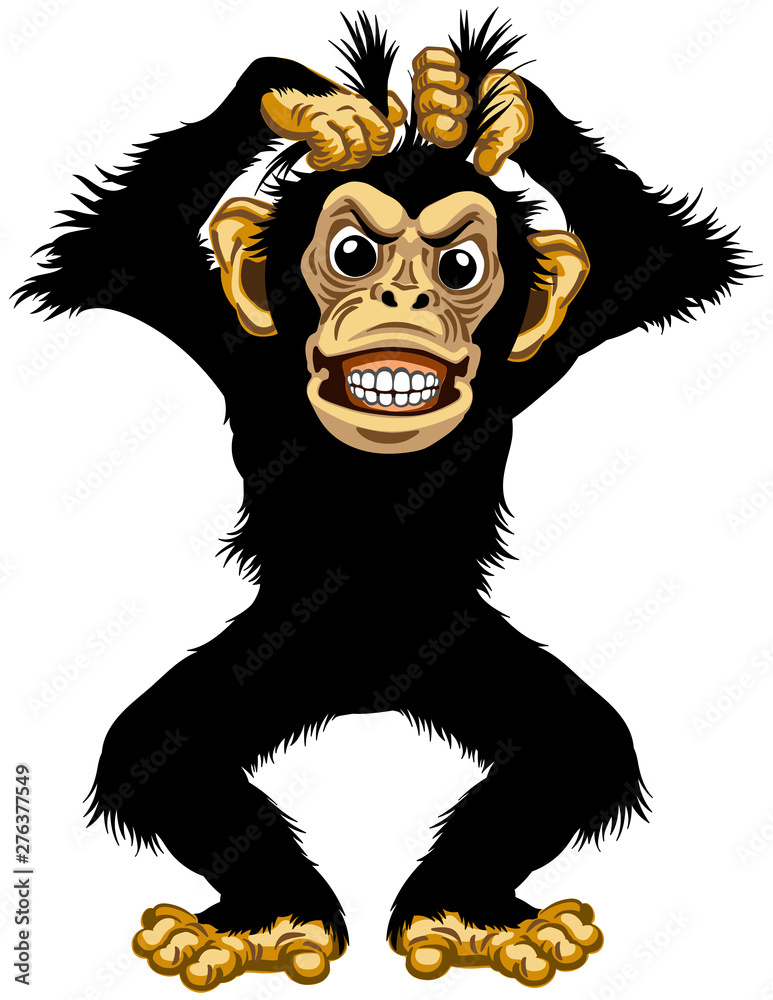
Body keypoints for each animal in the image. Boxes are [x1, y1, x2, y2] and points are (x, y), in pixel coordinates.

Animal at [14, 11, 749, 991]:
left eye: (461, 265)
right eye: (352, 254)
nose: (406, 294)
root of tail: (368, 693)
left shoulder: (544, 349)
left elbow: (657, 259)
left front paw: (490, 103)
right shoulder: (225, 336)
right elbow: (117, 251)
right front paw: (313, 105)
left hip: (456, 649)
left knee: (572, 749)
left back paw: (466, 913)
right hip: (280, 651)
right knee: (161, 753)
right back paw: (269, 920)